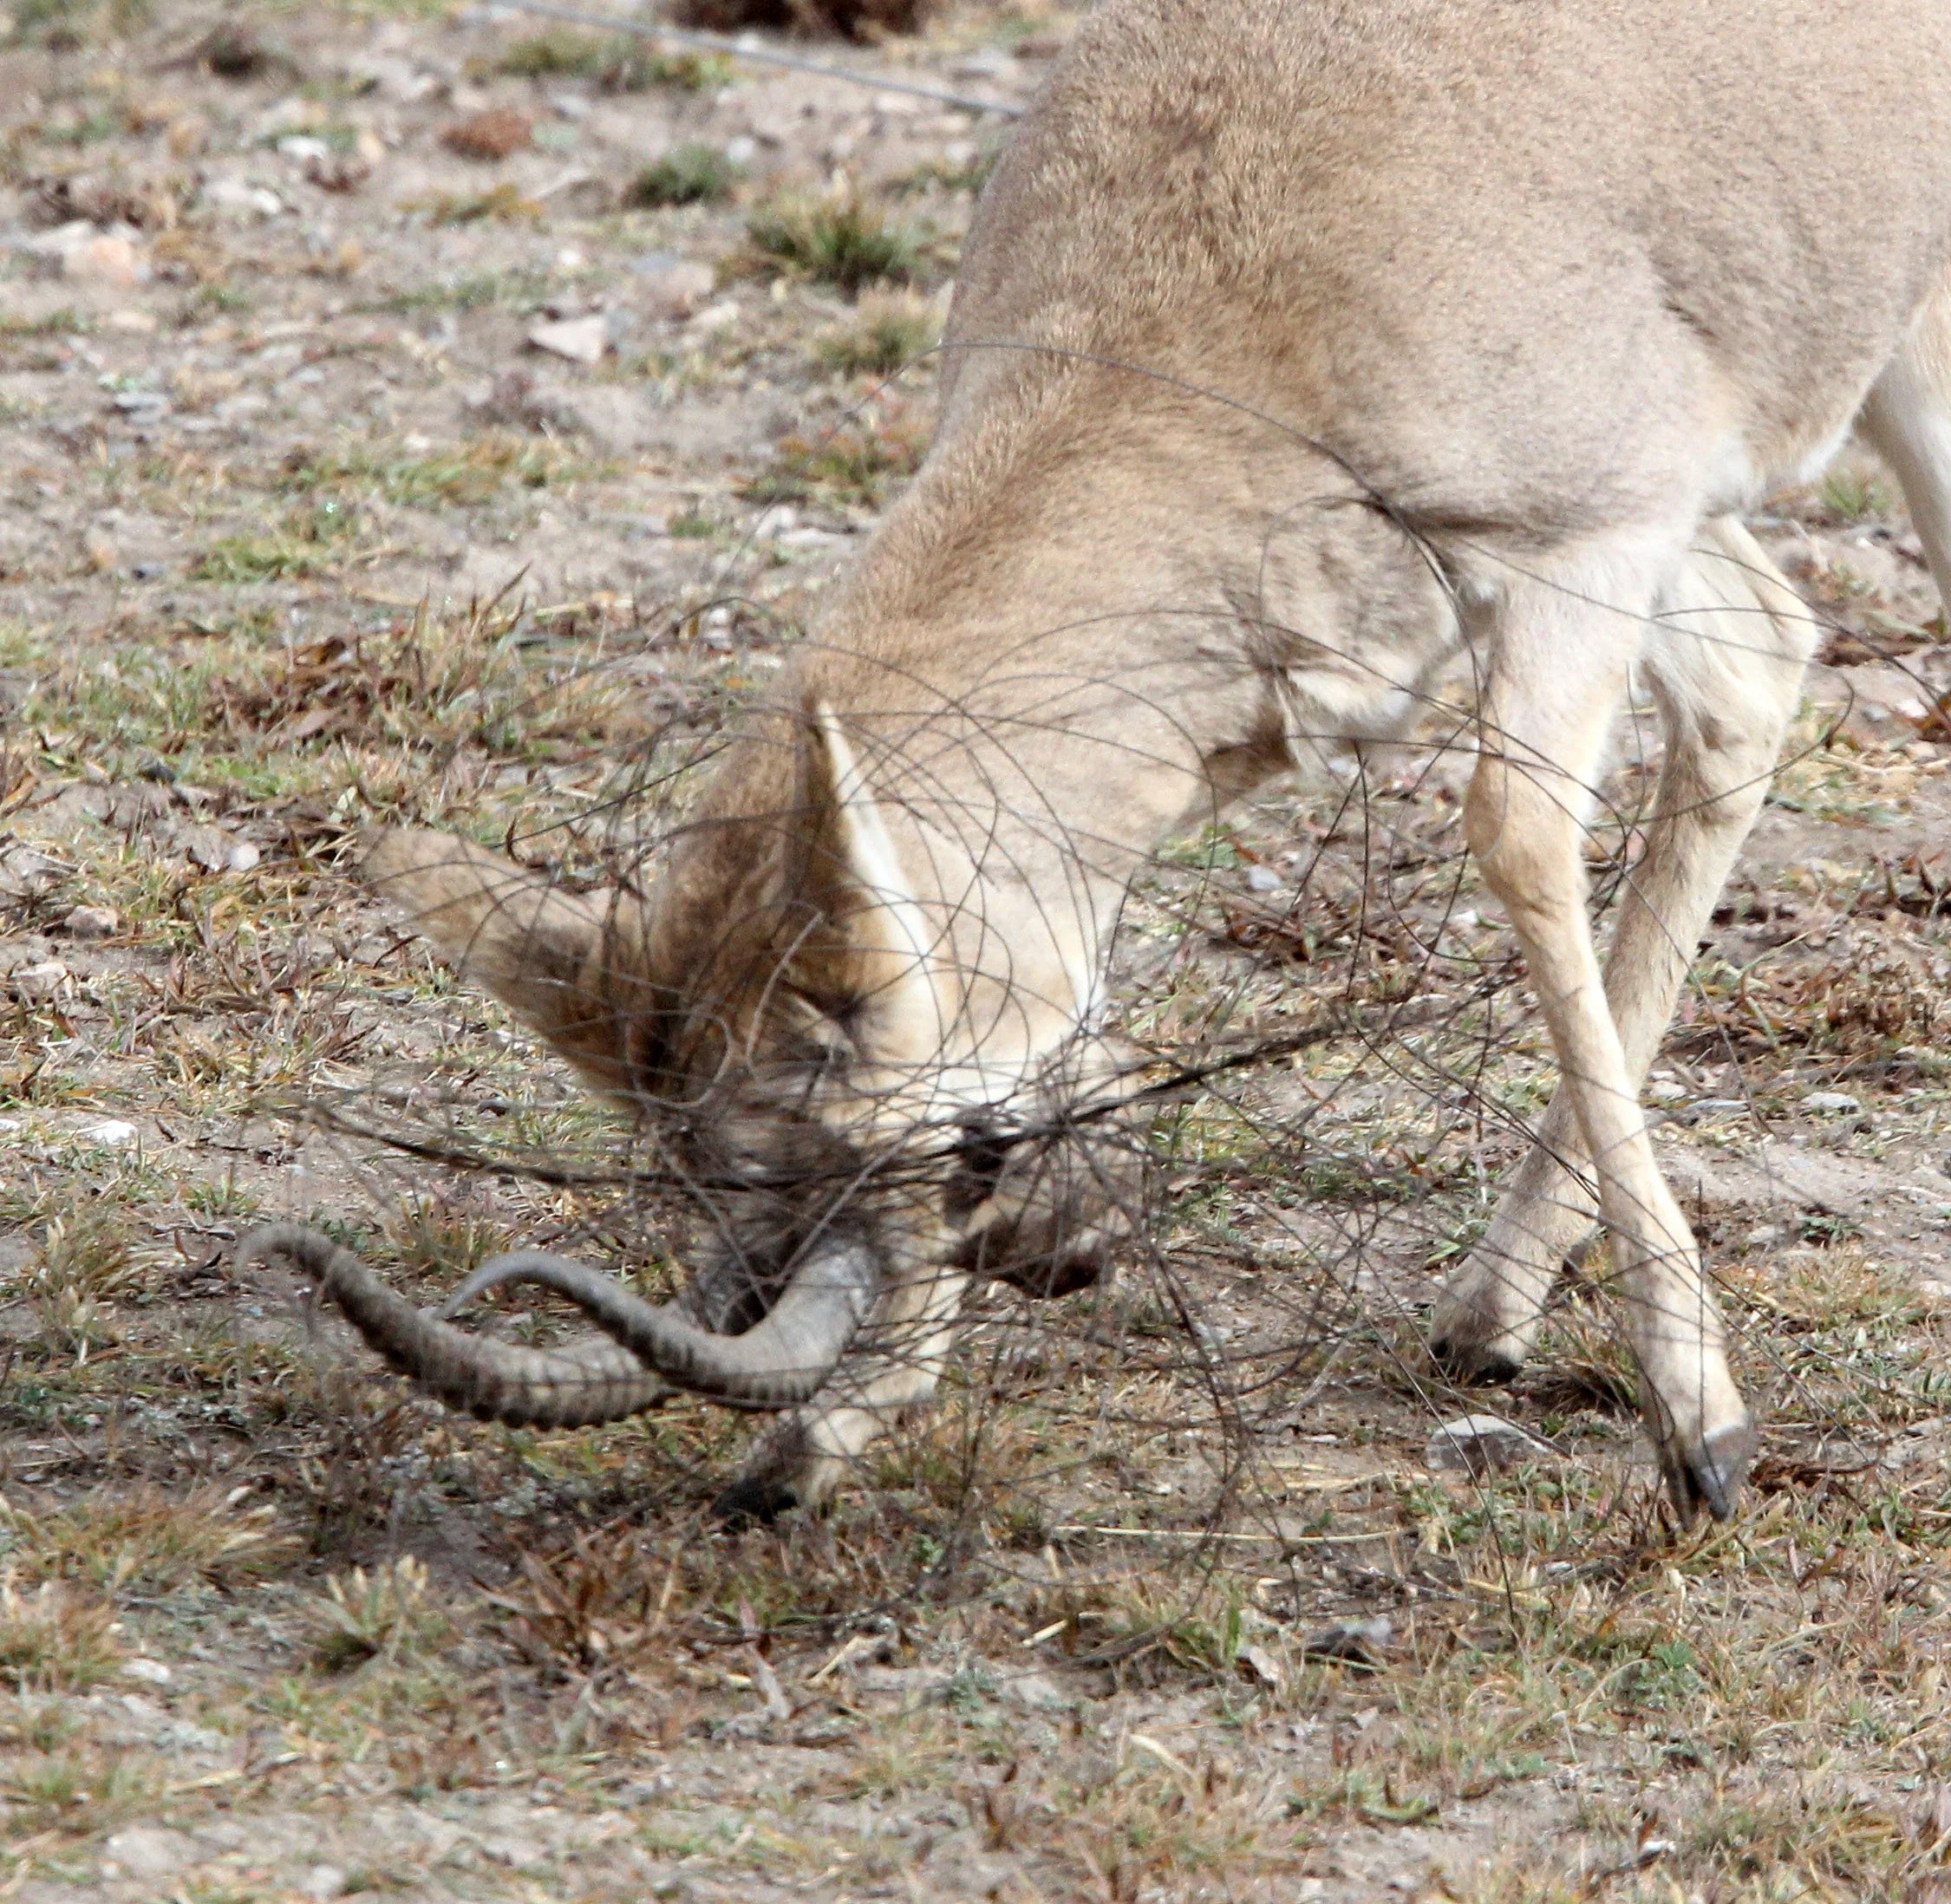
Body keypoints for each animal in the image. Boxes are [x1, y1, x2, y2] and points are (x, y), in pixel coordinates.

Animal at [247, 0, 1951, 1524]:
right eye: (695, 1163)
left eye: (971, 1150)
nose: (1065, 1260)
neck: (1231, 298)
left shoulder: (1582, 552)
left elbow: (1518, 841)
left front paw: (1704, 1429)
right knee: (1761, 665)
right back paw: (1483, 1316)